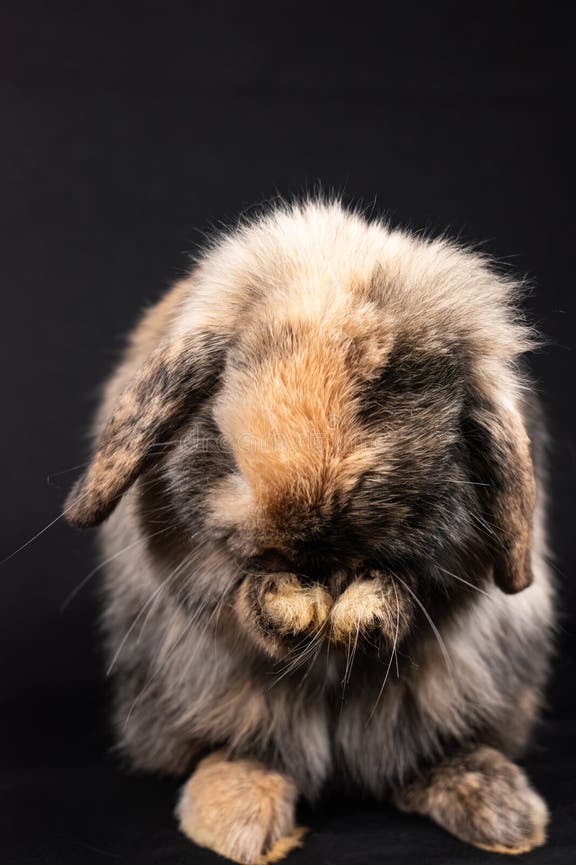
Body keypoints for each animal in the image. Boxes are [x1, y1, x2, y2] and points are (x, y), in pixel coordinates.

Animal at [66, 199, 554, 864]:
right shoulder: (201, 567)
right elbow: (237, 597)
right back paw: (239, 821)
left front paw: (357, 612)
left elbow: (411, 596)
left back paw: (502, 813)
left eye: (391, 388)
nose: (313, 551)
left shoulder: (449, 568)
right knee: (243, 749)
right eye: (230, 452)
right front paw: (293, 606)